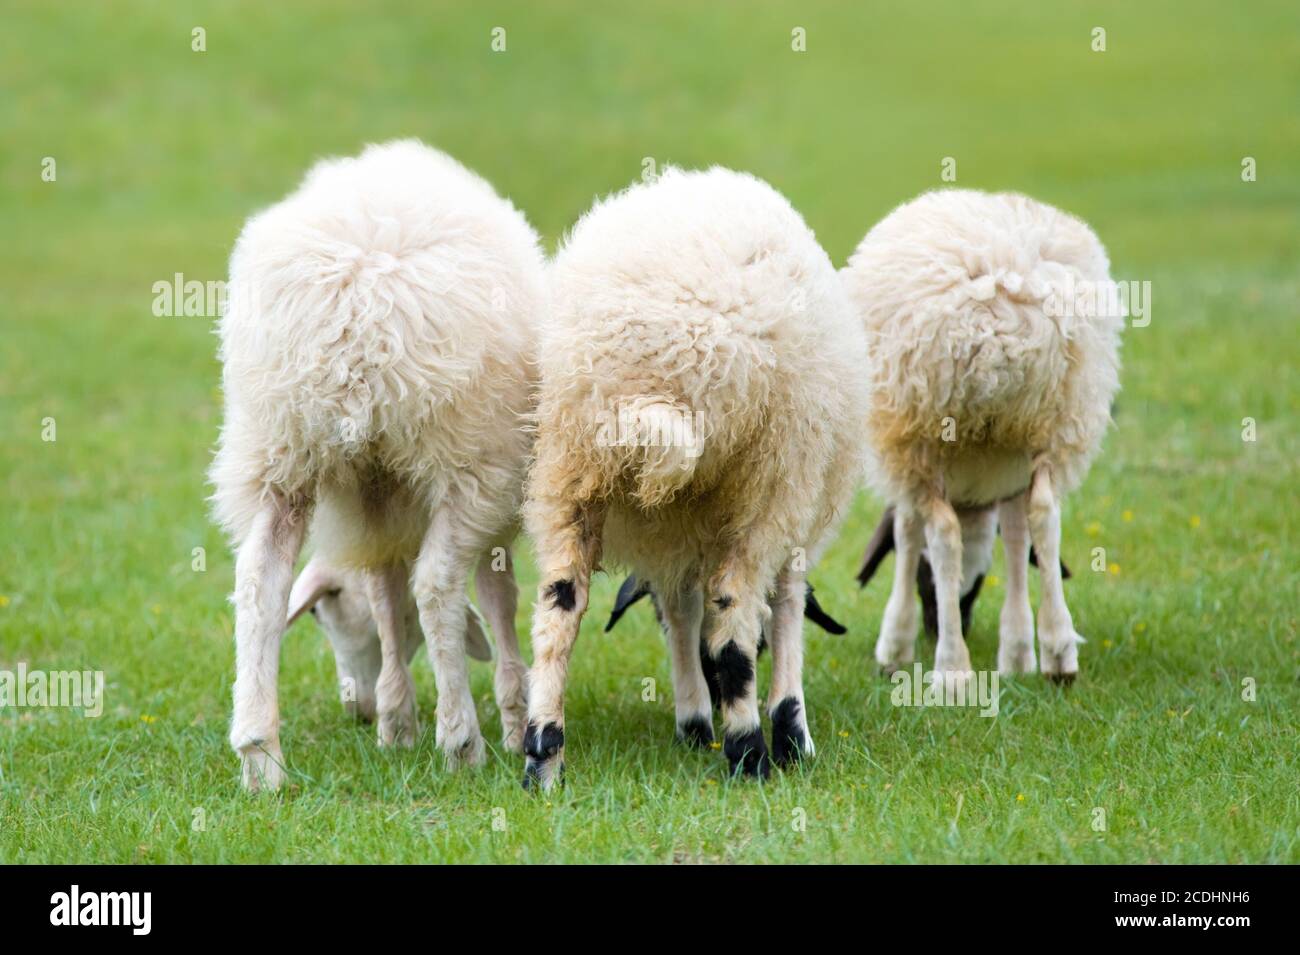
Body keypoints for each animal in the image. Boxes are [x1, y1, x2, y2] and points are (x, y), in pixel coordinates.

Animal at [210, 140, 545, 790]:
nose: (356, 709)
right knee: (437, 581)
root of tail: (358, 303)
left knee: (260, 581)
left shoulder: (379, 493)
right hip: (466, 453)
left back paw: (261, 757)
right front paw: (512, 719)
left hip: (276, 442)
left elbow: (387, 594)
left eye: (322, 618)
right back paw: (461, 739)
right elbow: (495, 597)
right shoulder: (480, 490)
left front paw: (395, 722)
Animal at [521, 166, 870, 788]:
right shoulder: (794, 516)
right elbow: (783, 609)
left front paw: (693, 721)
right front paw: (792, 735)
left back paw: (542, 757)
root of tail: (648, 375)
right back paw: (749, 753)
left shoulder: (674, 540)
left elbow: (680, 614)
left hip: (568, 470)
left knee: (559, 607)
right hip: (769, 477)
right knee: (732, 609)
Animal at [840, 189, 1123, 684]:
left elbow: (908, 530)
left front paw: (895, 644)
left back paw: (952, 670)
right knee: (1045, 513)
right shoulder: (1004, 461)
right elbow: (1015, 536)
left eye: (927, 581)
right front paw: (1019, 654)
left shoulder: (903, 449)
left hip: (921, 431)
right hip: (1055, 419)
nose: (937, 622)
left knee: (943, 532)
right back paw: (1059, 651)